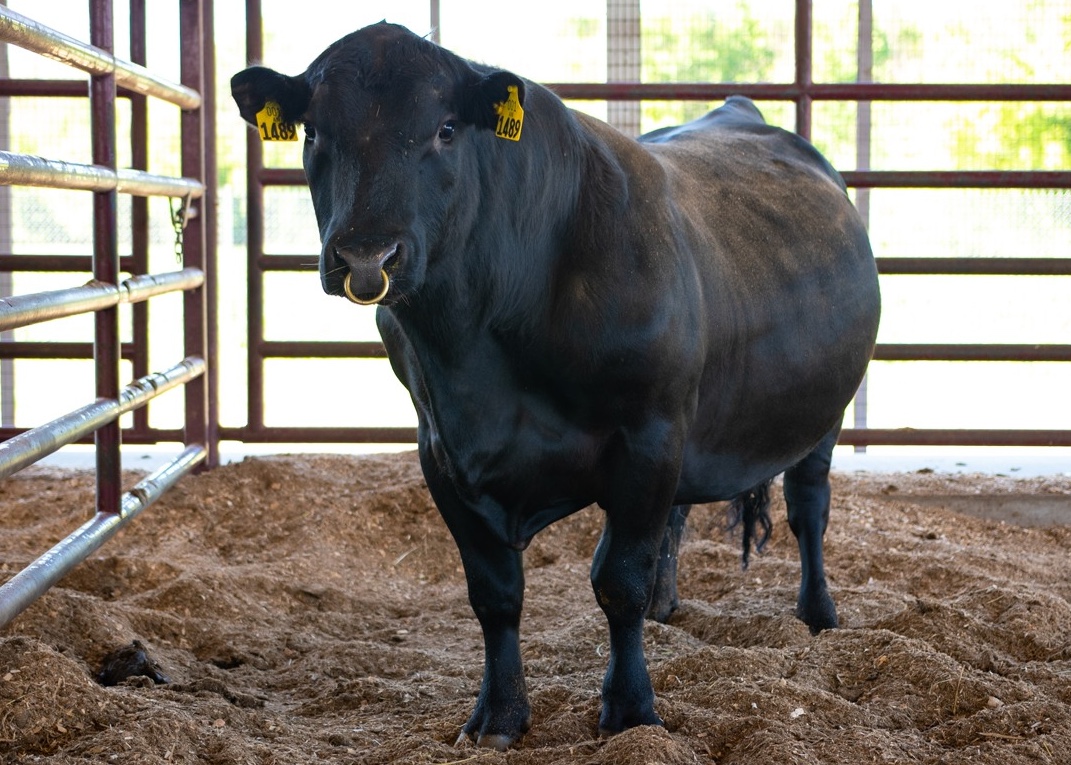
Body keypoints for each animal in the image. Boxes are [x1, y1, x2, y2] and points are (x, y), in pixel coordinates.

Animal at [231, 21, 881, 751]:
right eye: (314, 132)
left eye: (445, 129)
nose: (367, 255)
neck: (478, 349)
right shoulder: (441, 451)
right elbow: (495, 594)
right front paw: (498, 715)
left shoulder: (649, 434)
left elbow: (617, 582)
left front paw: (631, 710)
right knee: (679, 517)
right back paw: (668, 605)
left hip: (821, 416)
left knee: (808, 508)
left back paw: (817, 612)